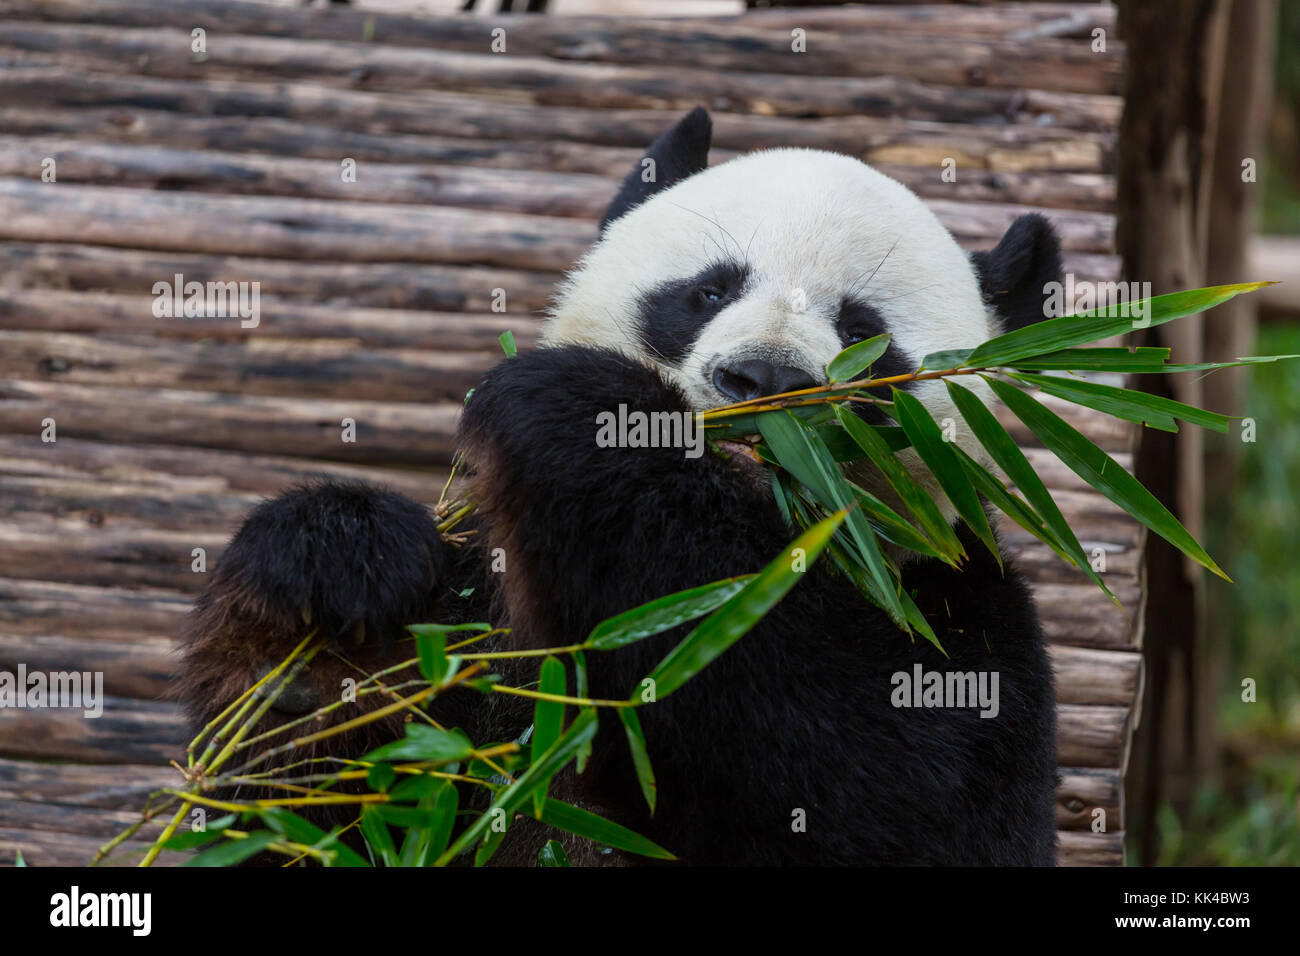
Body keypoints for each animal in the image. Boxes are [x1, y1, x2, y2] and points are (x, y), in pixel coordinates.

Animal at [177, 107, 1061, 866]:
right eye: (708, 292)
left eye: (863, 334)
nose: (765, 380)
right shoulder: (486, 617)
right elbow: (309, 813)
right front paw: (332, 586)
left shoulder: (963, 617)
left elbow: (879, 788)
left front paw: (585, 413)